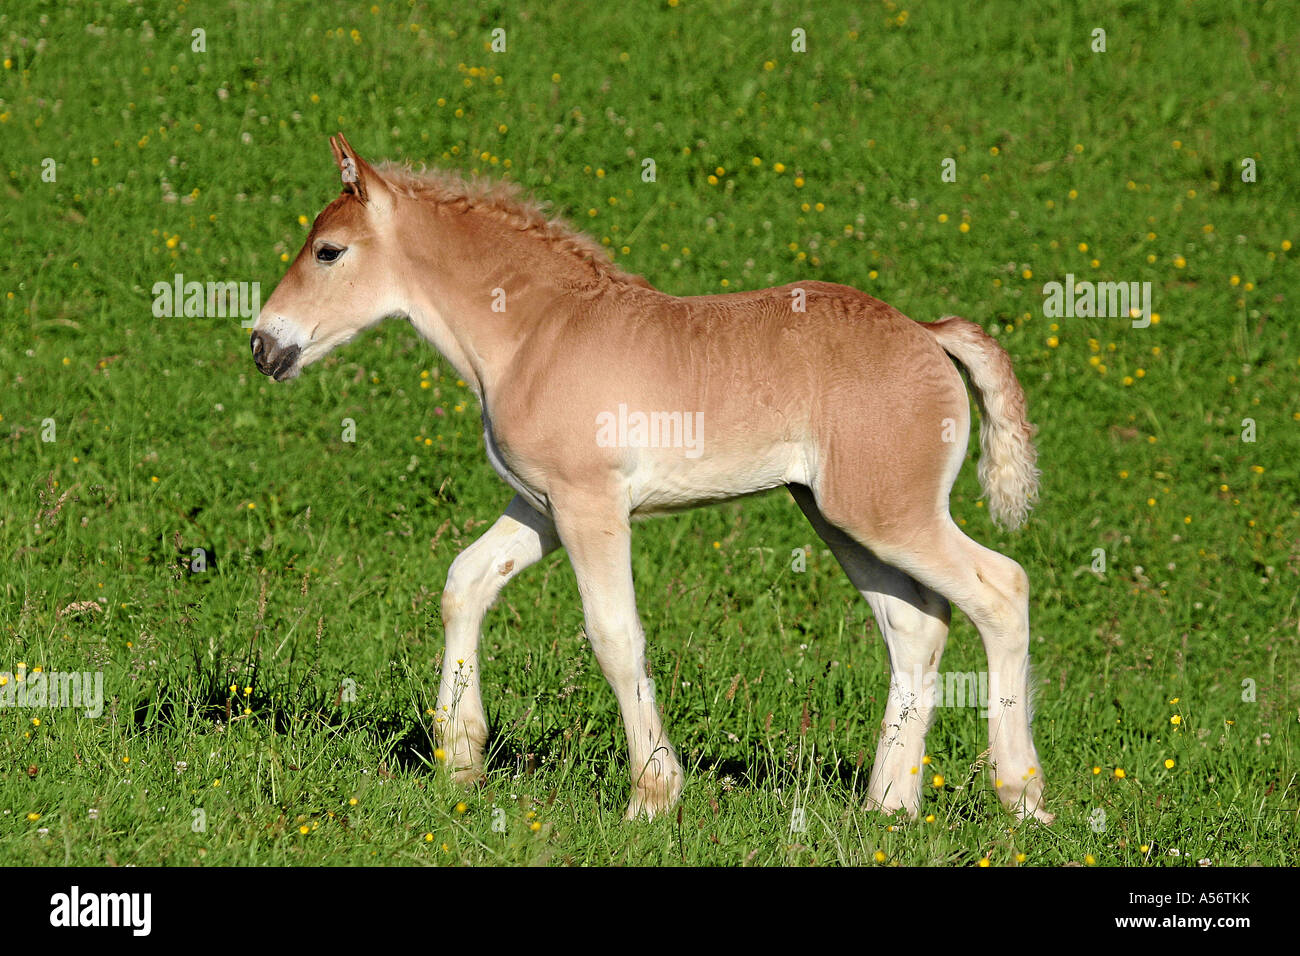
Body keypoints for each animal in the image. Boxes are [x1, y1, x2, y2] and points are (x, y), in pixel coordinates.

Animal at [250, 134, 1052, 824]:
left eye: (327, 251)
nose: (263, 344)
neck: (535, 333)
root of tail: (930, 334)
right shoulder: (541, 505)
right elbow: (465, 583)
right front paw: (460, 758)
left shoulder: (590, 505)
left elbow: (612, 633)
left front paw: (653, 795)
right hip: (838, 516)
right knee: (915, 626)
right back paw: (889, 803)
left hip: (888, 514)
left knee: (1002, 589)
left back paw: (1022, 799)